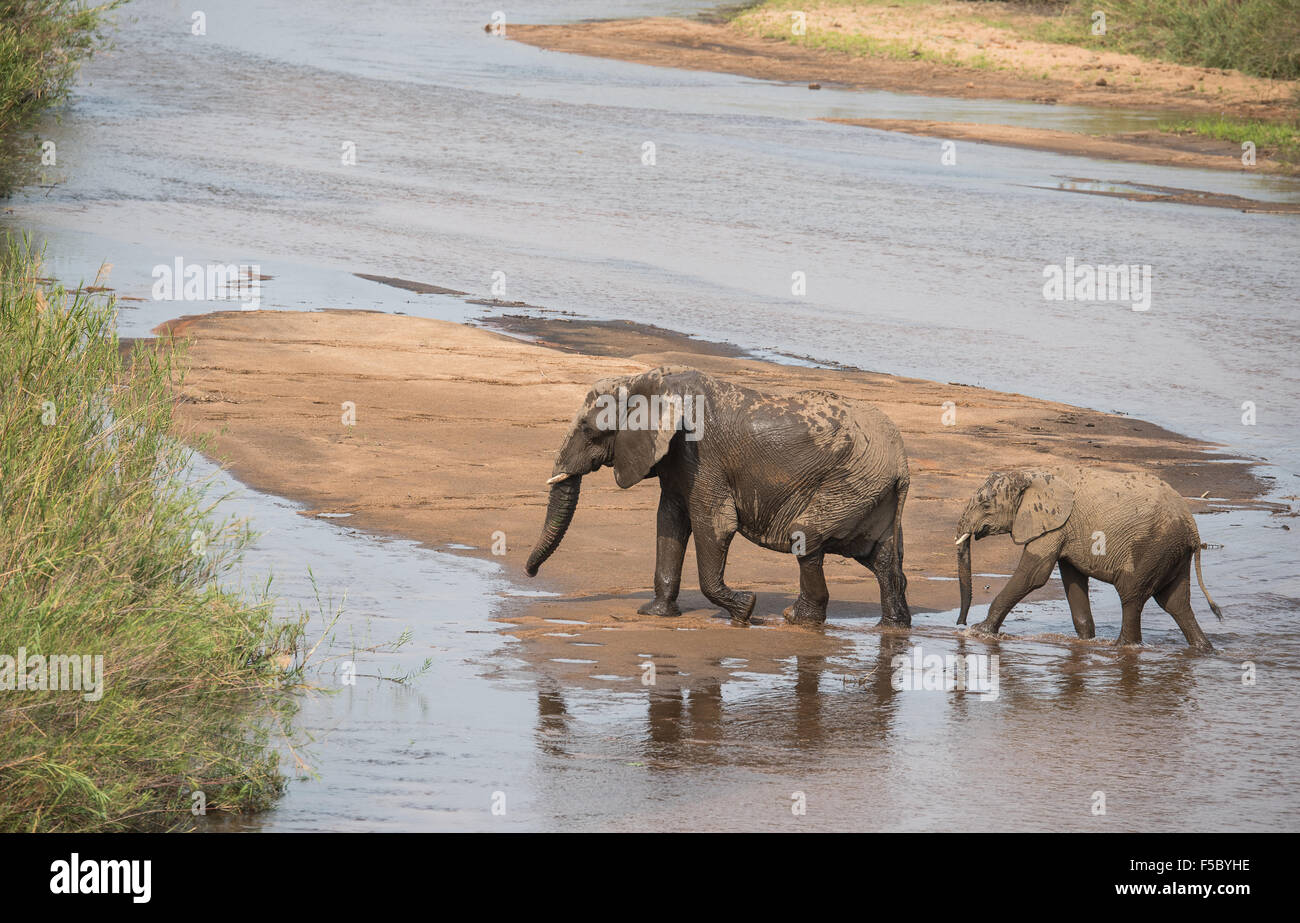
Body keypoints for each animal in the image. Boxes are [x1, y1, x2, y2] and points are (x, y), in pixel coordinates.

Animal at [524, 367, 912, 626]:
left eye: (588, 430)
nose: (530, 574)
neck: (648, 380)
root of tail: (902, 461)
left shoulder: (702, 455)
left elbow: (714, 526)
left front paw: (745, 610)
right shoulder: (677, 457)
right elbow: (669, 522)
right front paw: (654, 614)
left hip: (851, 482)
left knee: (806, 537)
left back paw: (796, 619)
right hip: (871, 492)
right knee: (882, 559)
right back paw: (893, 626)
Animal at [954, 466, 1223, 651]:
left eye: (986, 505)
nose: (960, 624)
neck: (1032, 474)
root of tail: (1192, 527)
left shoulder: (1054, 525)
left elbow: (1033, 575)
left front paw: (980, 631)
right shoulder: (1066, 530)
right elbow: (1073, 578)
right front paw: (1085, 641)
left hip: (1153, 547)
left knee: (1132, 595)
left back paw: (1121, 647)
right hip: (1172, 552)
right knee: (1176, 603)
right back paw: (1203, 649)